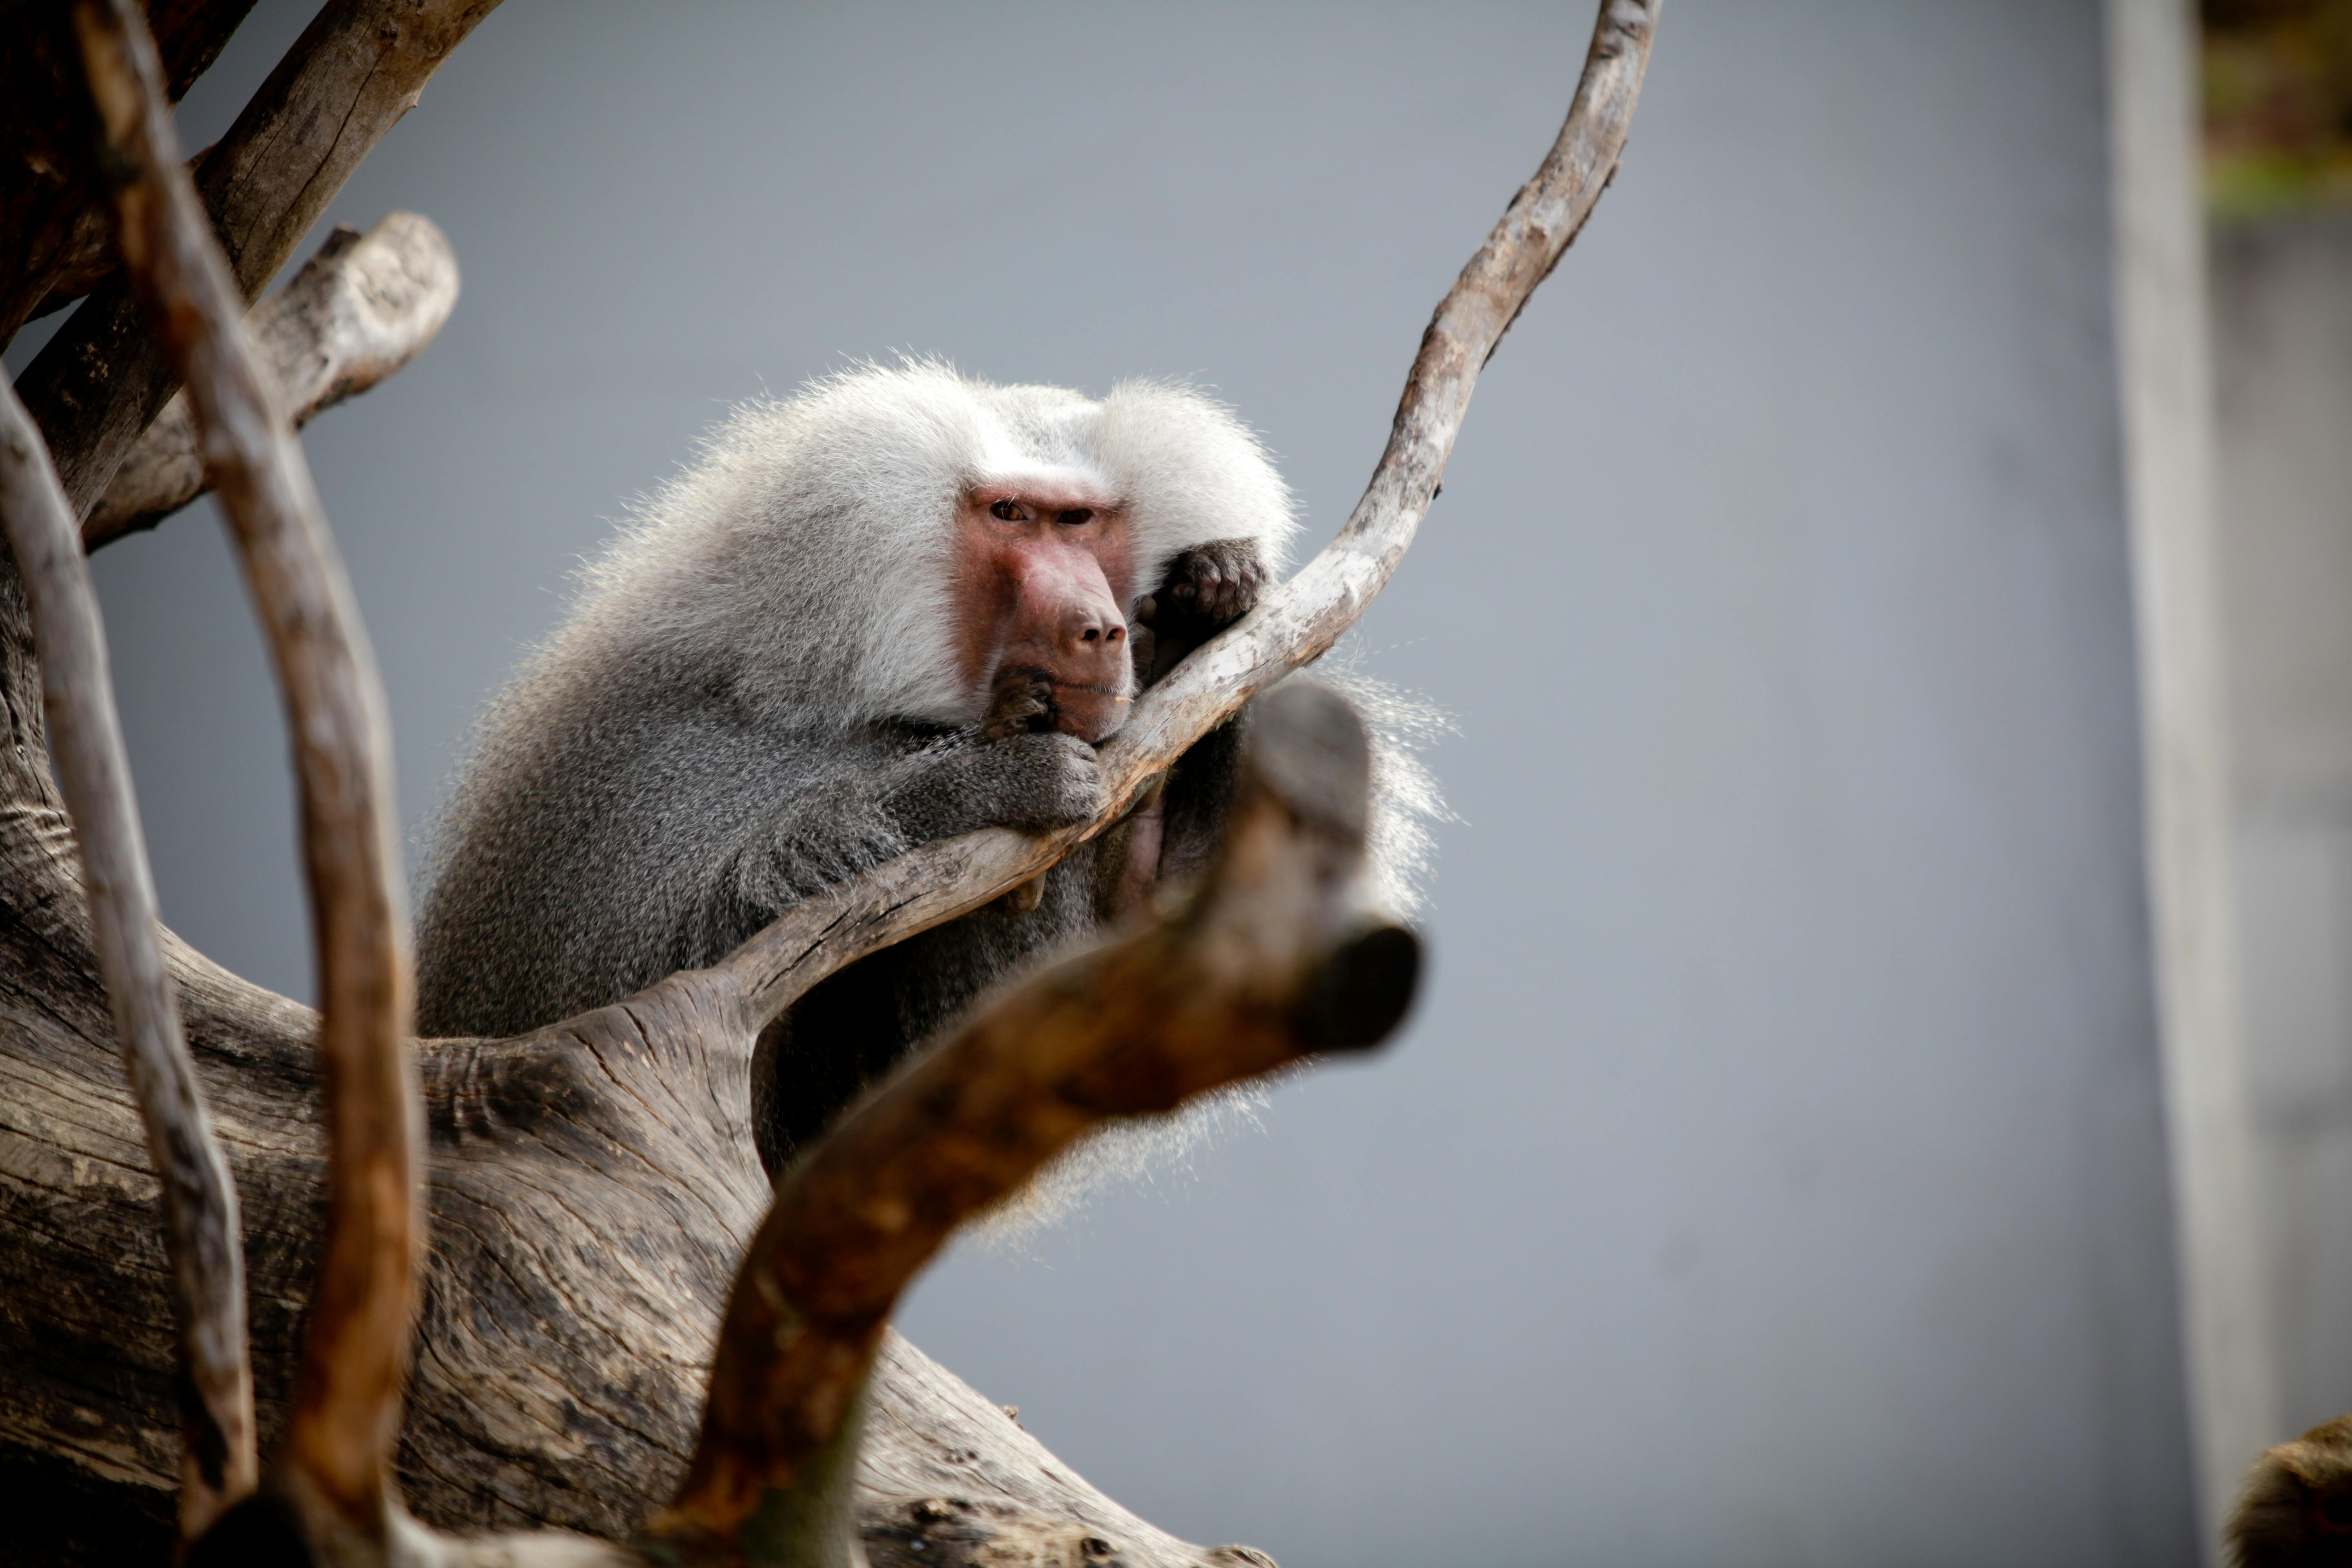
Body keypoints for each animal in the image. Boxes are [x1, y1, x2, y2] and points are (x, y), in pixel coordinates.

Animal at [412, 362, 1314, 1175]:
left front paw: (1208, 605)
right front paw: (986, 783)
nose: (1097, 630)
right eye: (1011, 515)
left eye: (1079, 520)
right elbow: (660, 1006)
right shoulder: (654, 771)